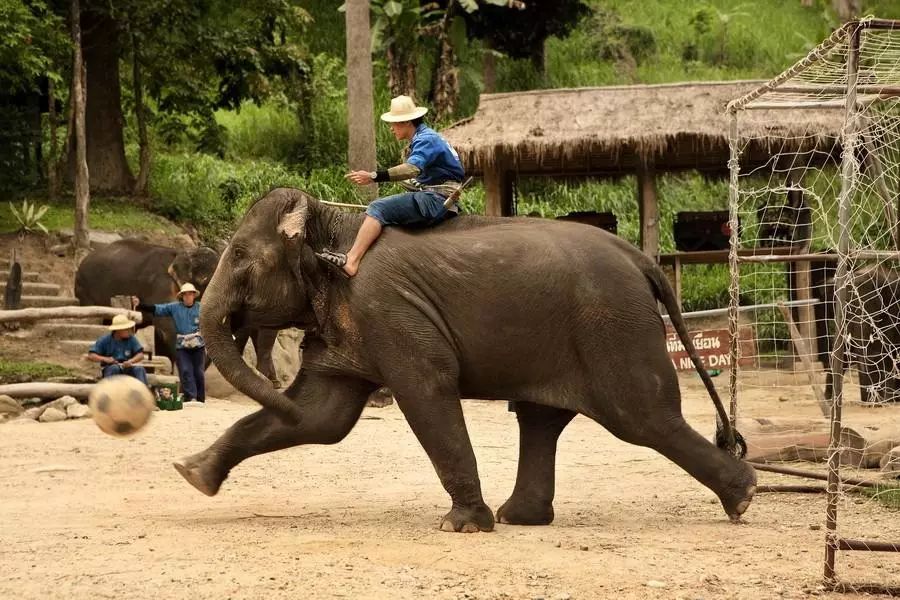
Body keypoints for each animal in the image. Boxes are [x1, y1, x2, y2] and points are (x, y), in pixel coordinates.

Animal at [174, 187, 756, 533]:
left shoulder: (385, 308)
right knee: (542, 419)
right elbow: (322, 416)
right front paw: (192, 474)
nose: (276, 389)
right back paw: (521, 518)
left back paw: (744, 497)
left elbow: (424, 391)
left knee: (643, 417)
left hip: (615, 328)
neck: (330, 225)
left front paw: (461, 526)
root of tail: (641, 260)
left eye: (241, 257)